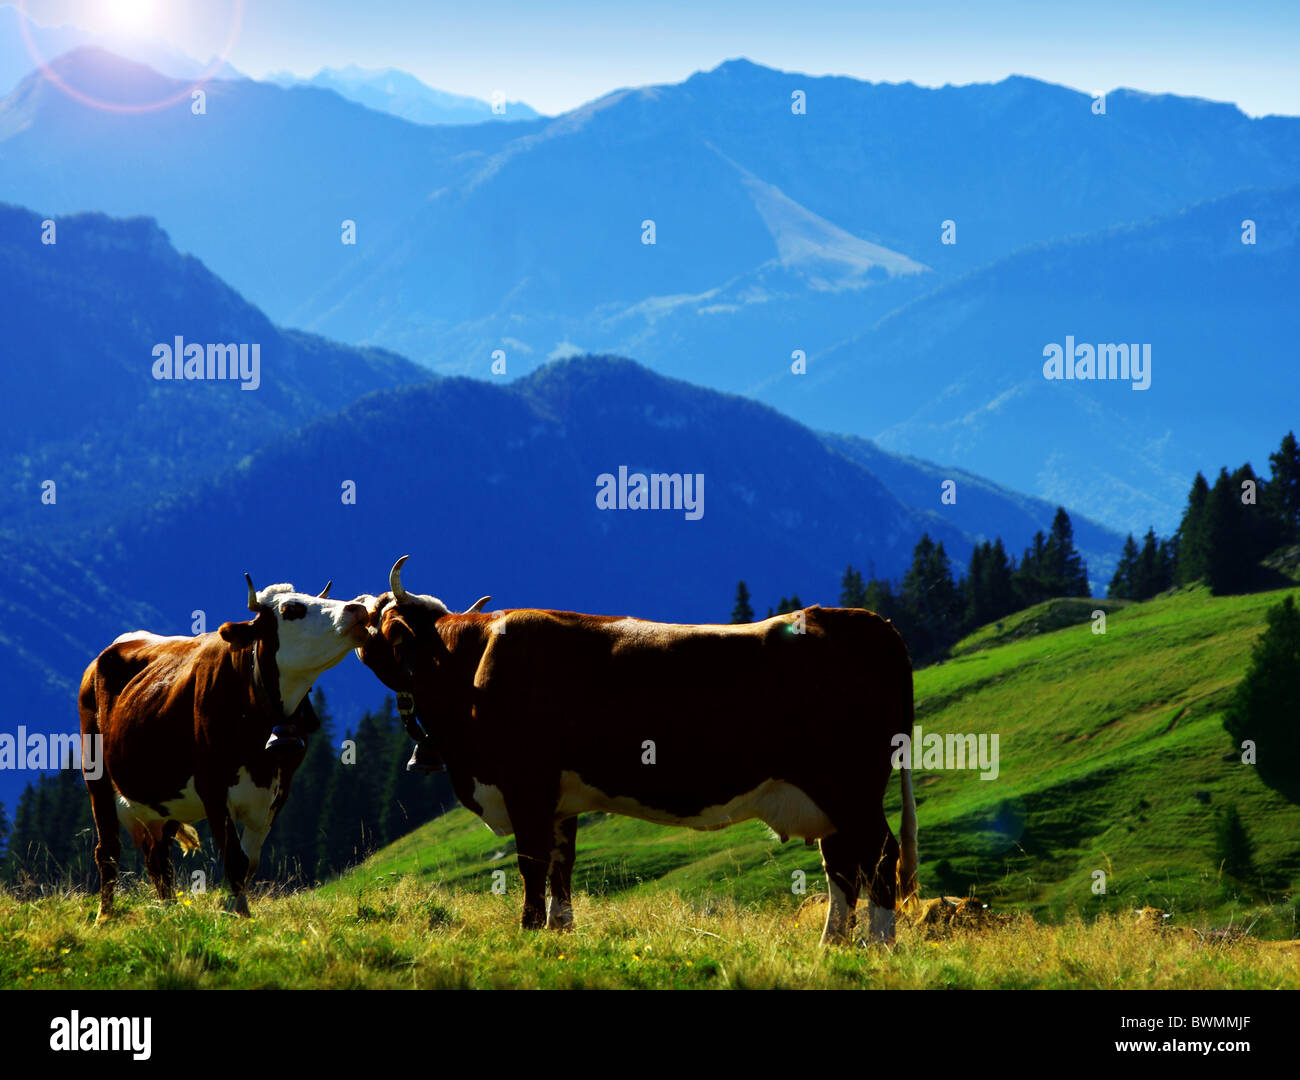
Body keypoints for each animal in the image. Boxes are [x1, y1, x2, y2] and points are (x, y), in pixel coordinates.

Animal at [79, 575, 370, 921]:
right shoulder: (212, 788)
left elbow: (250, 862)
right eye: (291, 609)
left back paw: (169, 911)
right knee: (108, 849)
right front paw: (241, 916)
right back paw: (104, 915)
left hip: (164, 798)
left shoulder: (277, 793)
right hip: (96, 774)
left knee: (158, 856)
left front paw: (238, 910)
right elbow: (234, 859)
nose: (357, 609)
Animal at [356, 556, 918, 946]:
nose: (355, 613)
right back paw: (832, 946)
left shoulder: (526, 785)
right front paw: (560, 931)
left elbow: (531, 863)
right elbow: (562, 864)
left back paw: (879, 945)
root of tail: (868, 621)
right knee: (843, 865)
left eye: (379, 617)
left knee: (880, 855)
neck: (469, 666)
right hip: (829, 797)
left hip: (850, 786)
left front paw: (529, 930)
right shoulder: (560, 800)